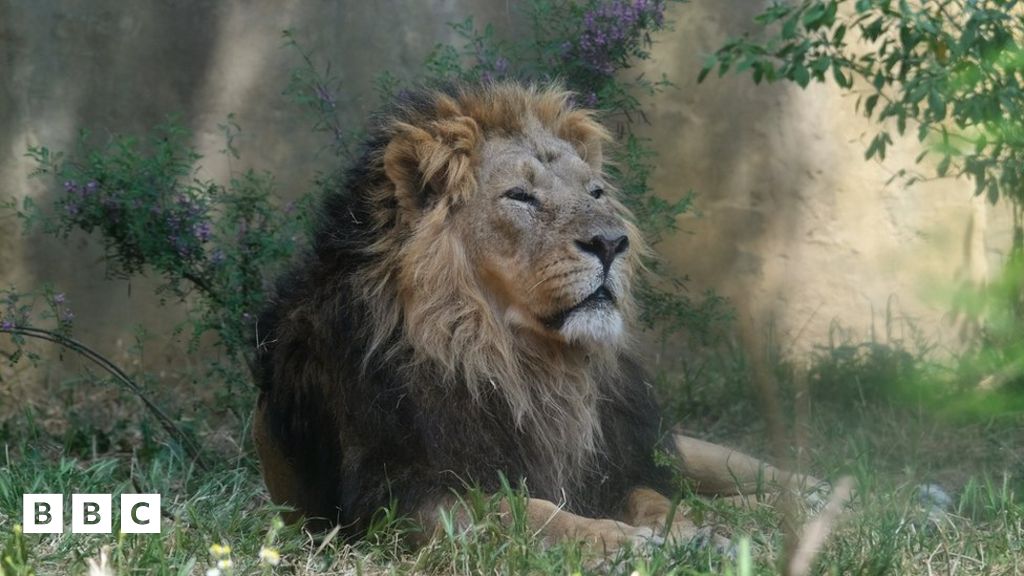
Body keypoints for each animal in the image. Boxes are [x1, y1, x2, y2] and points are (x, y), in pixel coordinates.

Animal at [253, 82, 818, 554]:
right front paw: (622, 541)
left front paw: (688, 530)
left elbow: (655, 496)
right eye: (520, 196)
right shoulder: (393, 497)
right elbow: (521, 511)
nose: (611, 243)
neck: (524, 365)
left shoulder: (614, 465)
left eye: (595, 192)